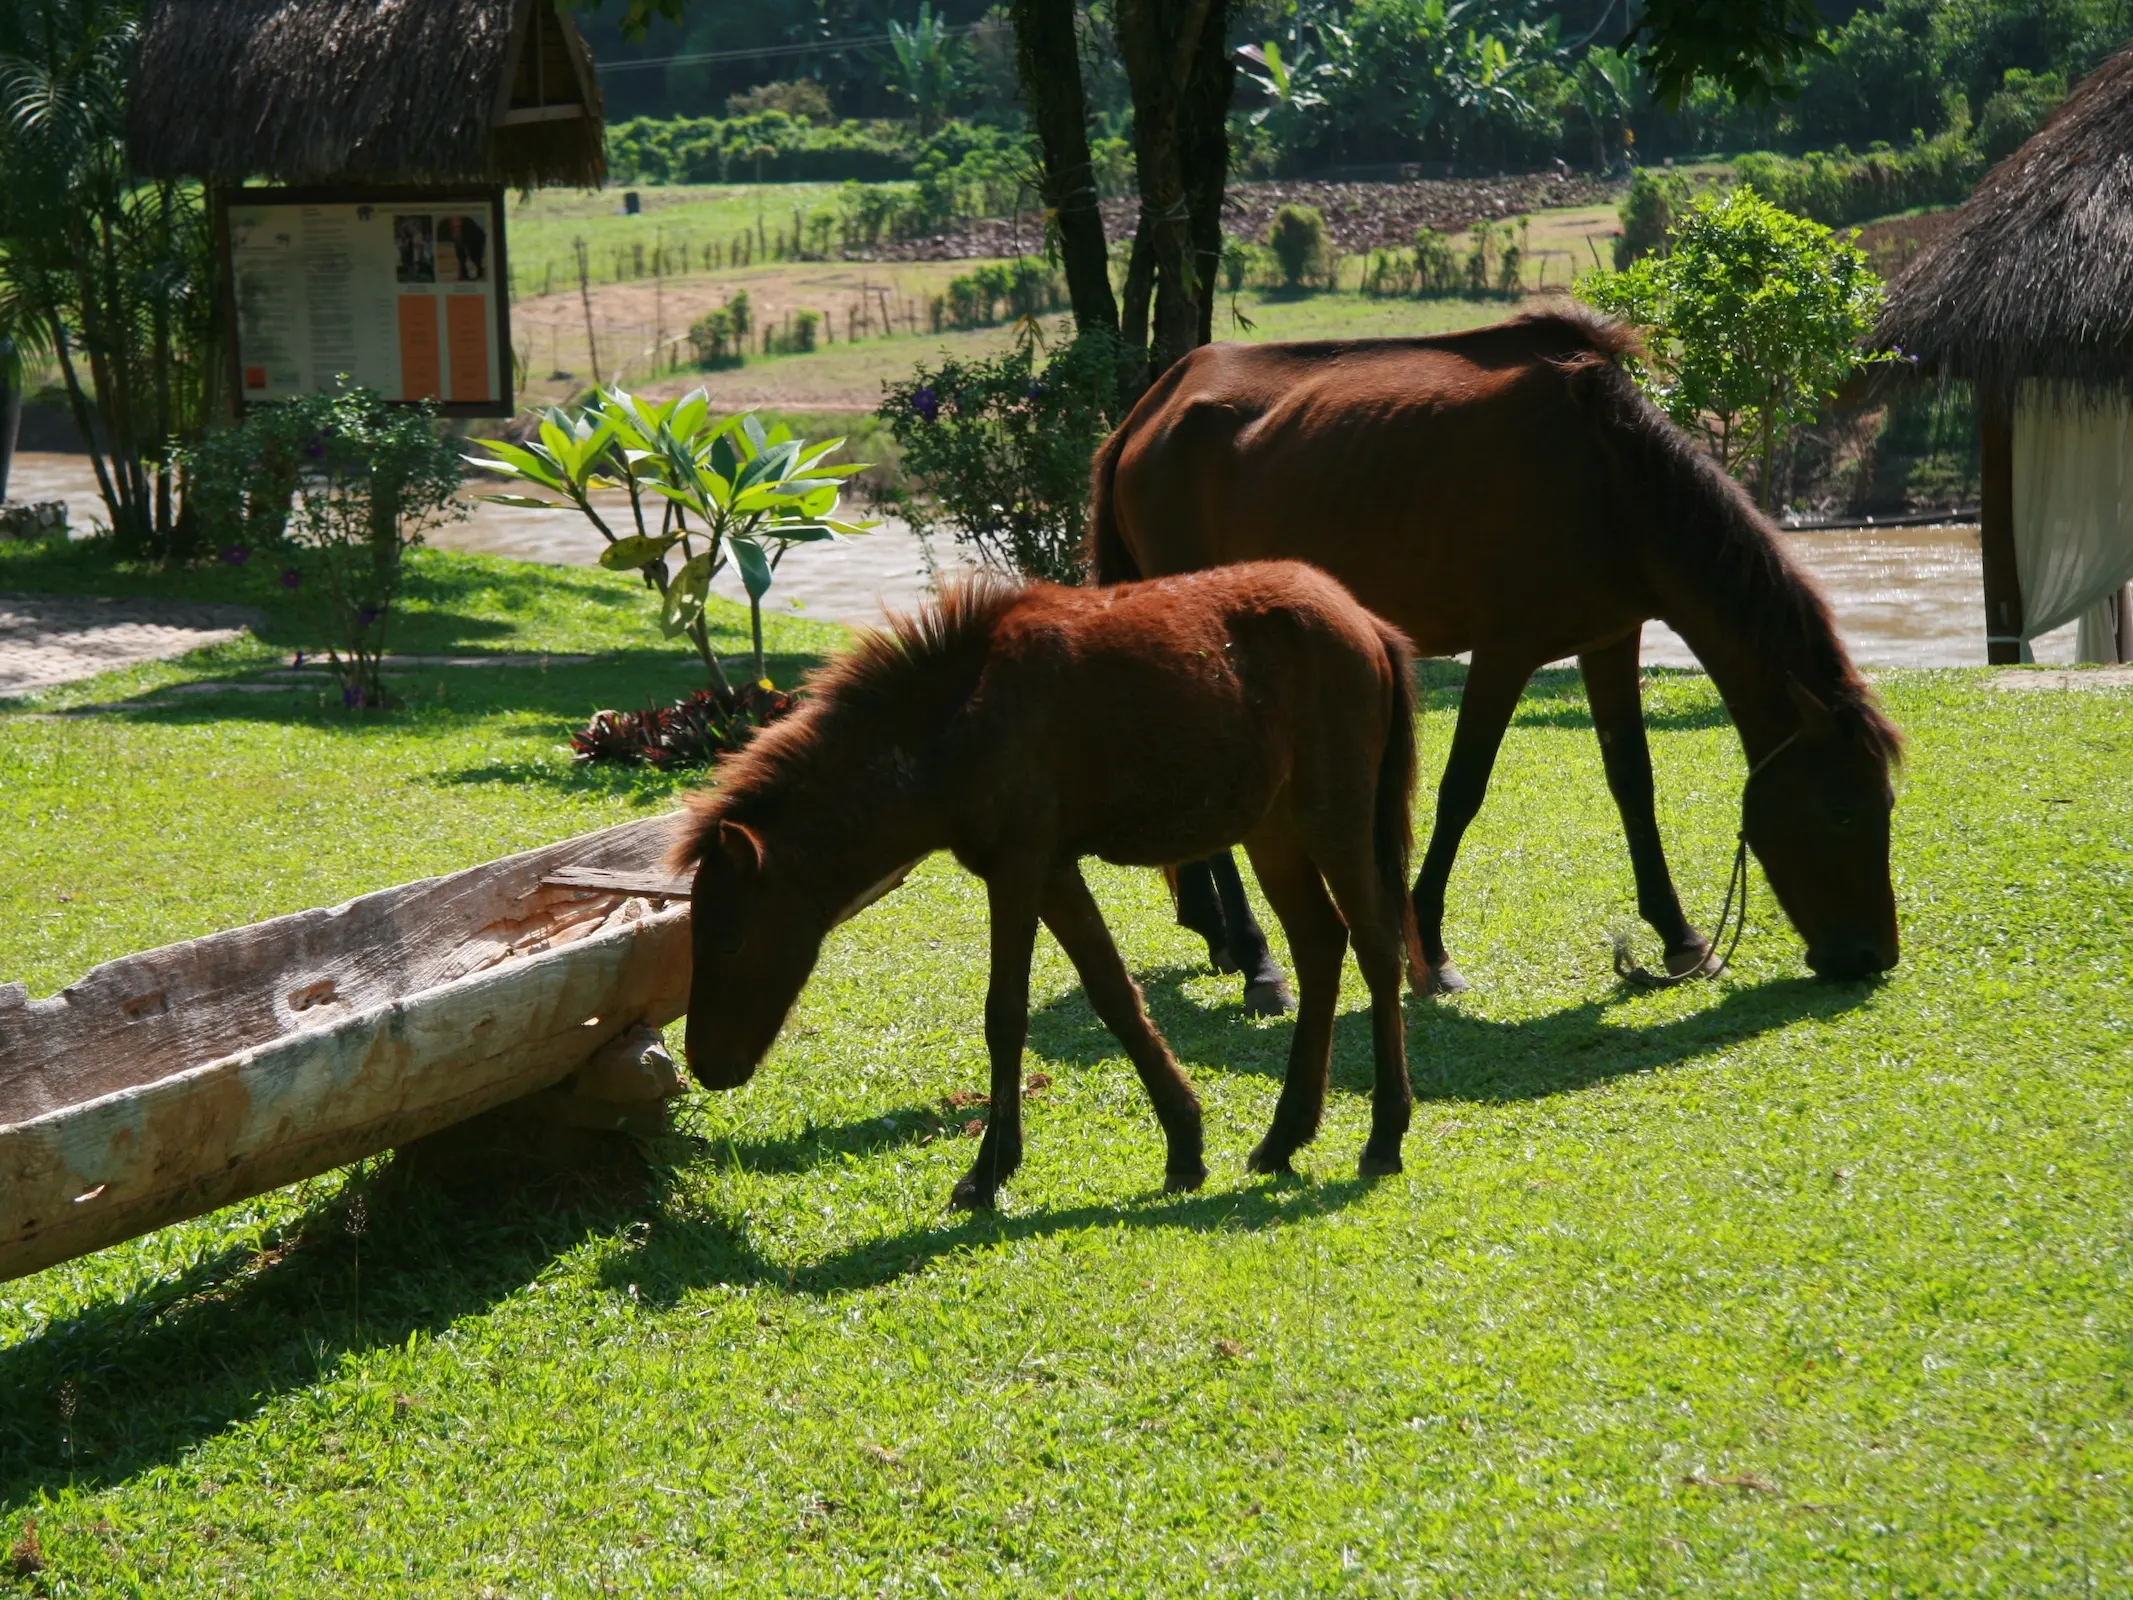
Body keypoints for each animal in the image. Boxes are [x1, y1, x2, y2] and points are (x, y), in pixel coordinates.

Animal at [670, 563, 1422, 1208]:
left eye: (730, 941)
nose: (705, 1065)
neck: (958, 720)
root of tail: (1366, 622)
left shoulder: (1017, 868)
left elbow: (1005, 1014)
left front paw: (987, 1174)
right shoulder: (1054, 871)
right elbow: (1114, 995)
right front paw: (1184, 1145)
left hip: (1334, 815)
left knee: (1376, 946)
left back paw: (1384, 1138)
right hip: (1273, 830)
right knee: (1320, 945)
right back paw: (1284, 1138)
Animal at [1090, 307, 1902, 1005]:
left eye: (1885, 805)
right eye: (1839, 811)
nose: (1872, 957)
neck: (1607, 478)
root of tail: (1147, 411)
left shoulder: (1611, 641)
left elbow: (1632, 783)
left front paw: (1677, 935)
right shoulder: (1505, 651)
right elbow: (1462, 791)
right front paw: (1428, 946)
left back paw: (1223, 936)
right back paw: (1260, 961)